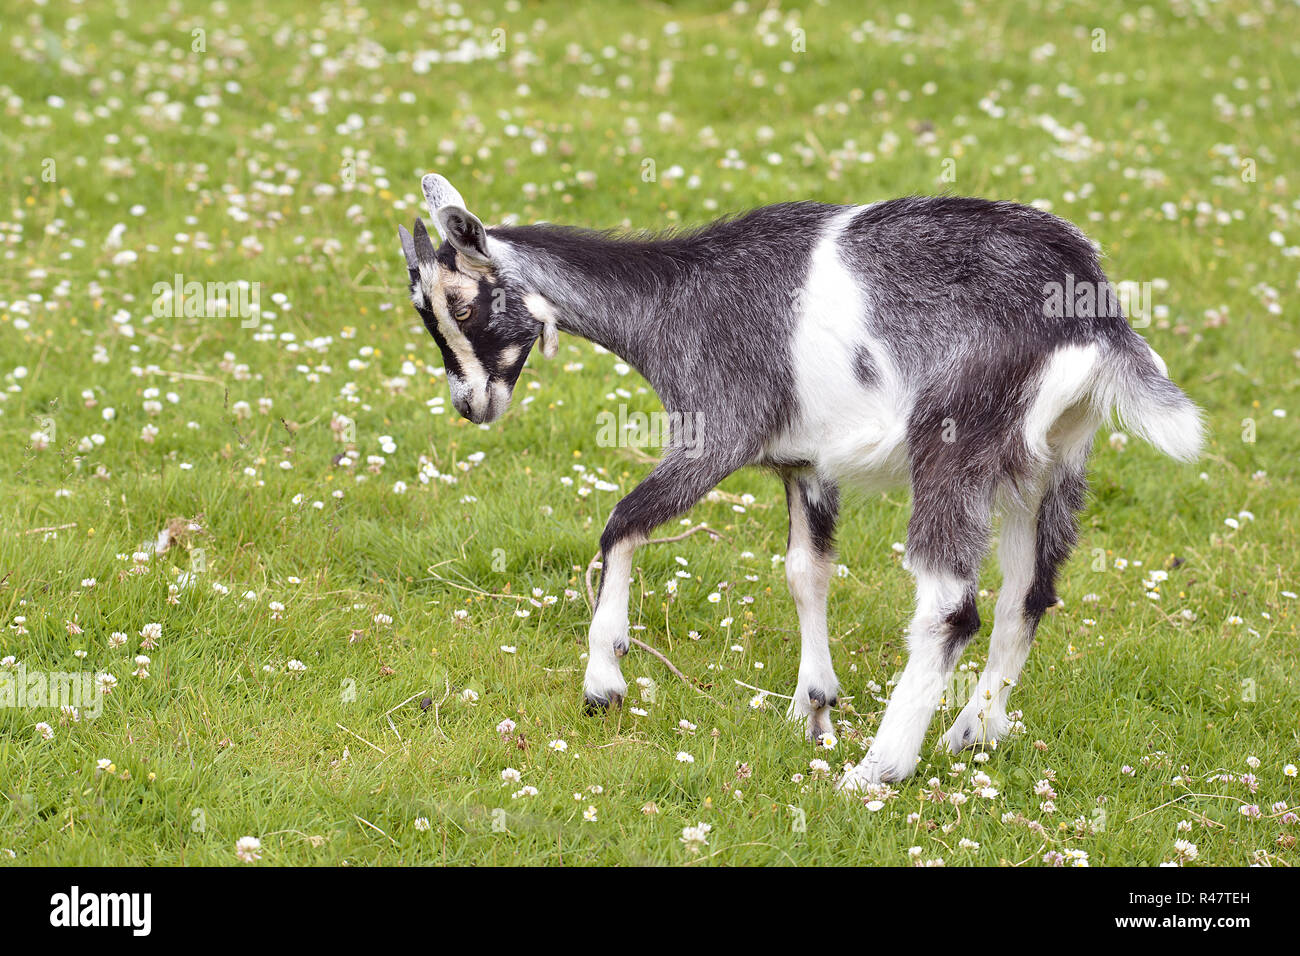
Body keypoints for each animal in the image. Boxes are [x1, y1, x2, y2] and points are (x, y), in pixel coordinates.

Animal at [398, 173, 1203, 788]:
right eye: (425, 313)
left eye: (464, 303)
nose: (471, 405)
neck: (675, 300)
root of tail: (1094, 314)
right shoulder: (807, 466)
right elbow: (805, 571)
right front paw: (814, 706)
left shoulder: (718, 430)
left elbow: (622, 522)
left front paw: (604, 681)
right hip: (1053, 458)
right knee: (1028, 593)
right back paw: (973, 731)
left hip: (955, 438)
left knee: (950, 607)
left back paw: (879, 769)